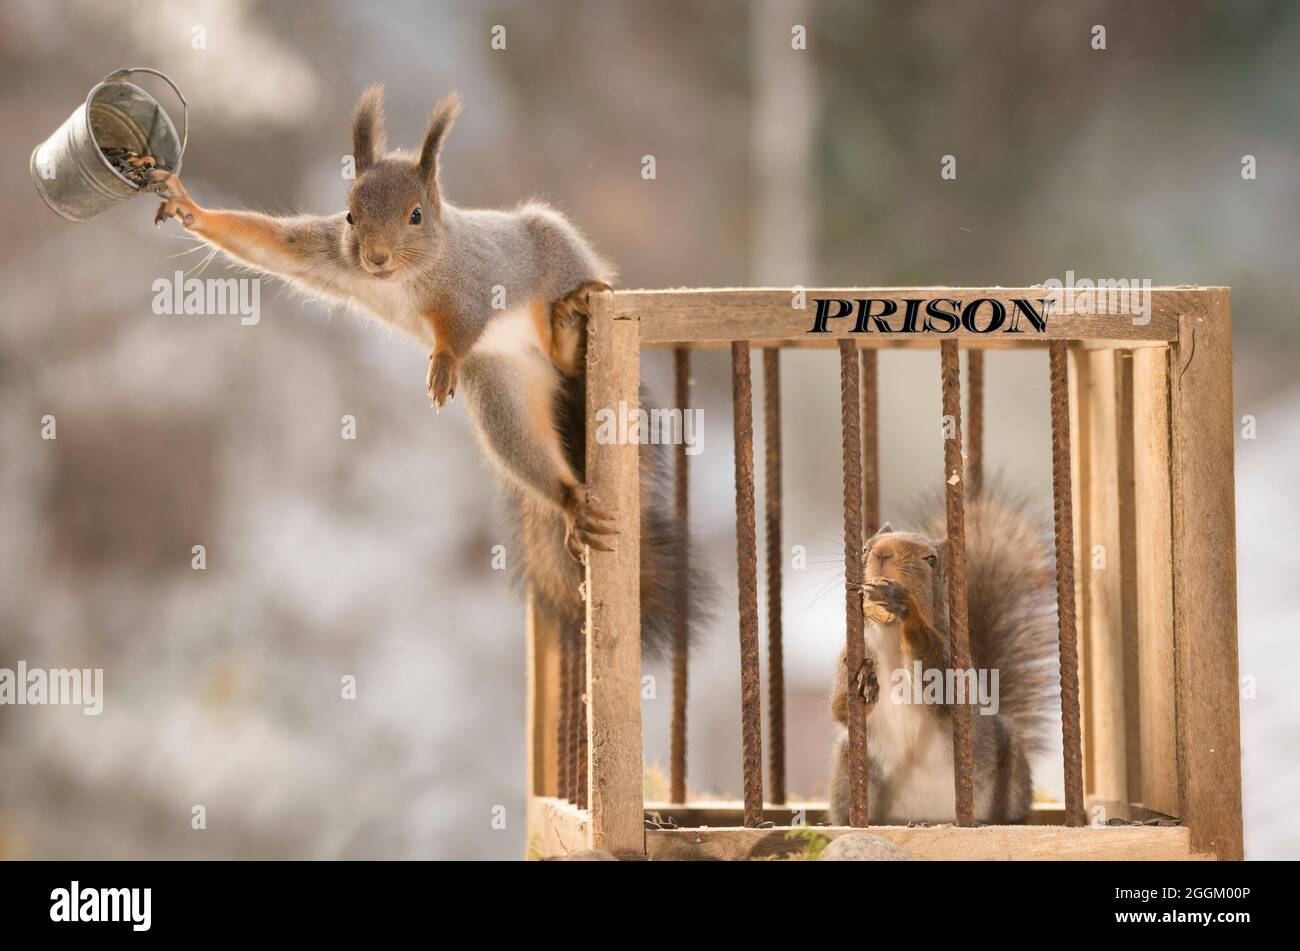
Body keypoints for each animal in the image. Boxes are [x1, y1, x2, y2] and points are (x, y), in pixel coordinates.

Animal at [150, 85, 701, 657]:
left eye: (416, 215)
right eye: (350, 216)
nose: (375, 258)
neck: (406, 273)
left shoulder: (470, 286)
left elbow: (460, 326)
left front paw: (441, 363)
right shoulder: (326, 254)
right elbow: (273, 244)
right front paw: (190, 208)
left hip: (556, 256)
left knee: (565, 315)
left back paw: (570, 334)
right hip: (500, 385)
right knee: (522, 446)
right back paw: (571, 499)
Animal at [829, 483, 1058, 825]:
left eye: (931, 559)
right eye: (865, 549)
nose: (881, 553)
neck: (890, 634)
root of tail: (928, 816)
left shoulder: (953, 663)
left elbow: (946, 690)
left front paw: (904, 605)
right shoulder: (851, 651)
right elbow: (839, 709)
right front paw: (866, 682)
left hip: (1010, 767)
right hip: (847, 768)